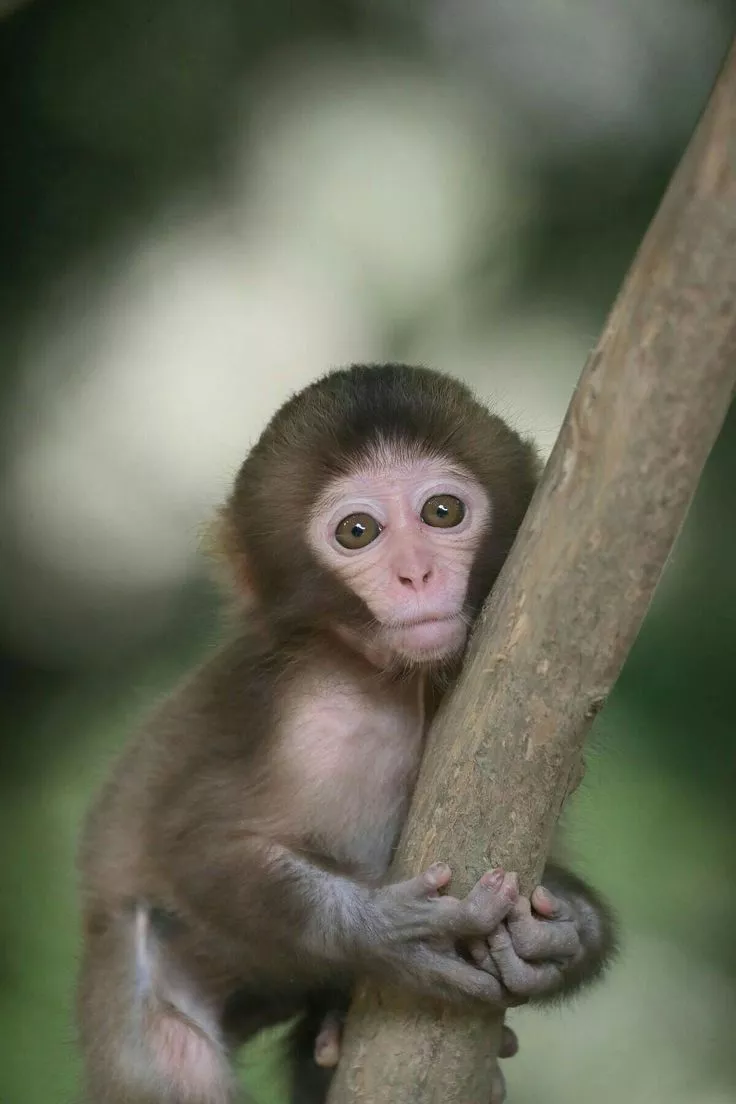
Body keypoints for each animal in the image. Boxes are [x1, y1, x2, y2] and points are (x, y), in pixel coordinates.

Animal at [76, 363, 617, 1104]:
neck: (386, 681)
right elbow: (193, 849)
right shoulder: (291, 711)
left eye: (442, 513)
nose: (416, 574)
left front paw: (567, 930)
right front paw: (386, 933)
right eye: (357, 531)